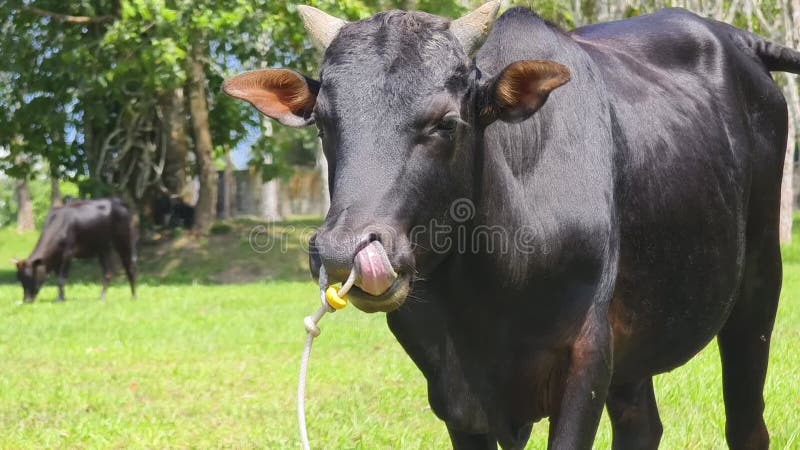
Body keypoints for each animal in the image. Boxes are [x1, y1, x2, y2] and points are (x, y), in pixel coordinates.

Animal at [224, 3, 797, 449]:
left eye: (446, 122)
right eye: (324, 122)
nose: (344, 251)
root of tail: (735, 38)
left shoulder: (586, 360)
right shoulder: (453, 394)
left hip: (758, 284)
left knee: (747, 425)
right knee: (642, 427)